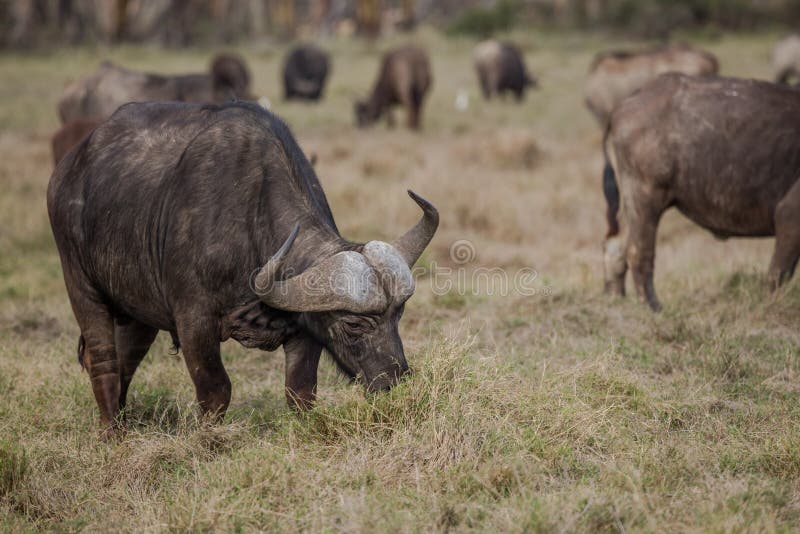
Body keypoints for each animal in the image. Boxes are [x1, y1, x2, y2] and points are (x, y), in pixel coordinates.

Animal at [47, 101, 438, 435]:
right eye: (353, 324)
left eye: (398, 316)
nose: (393, 383)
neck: (252, 221)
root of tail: (67, 170)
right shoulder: (194, 322)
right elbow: (216, 390)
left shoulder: (303, 328)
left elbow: (301, 391)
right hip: (80, 284)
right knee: (103, 360)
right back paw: (112, 432)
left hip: (137, 312)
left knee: (125, 362)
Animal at [602, 74, 800, 311]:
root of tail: (623, 106)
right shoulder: (790, 215)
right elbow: (778, 274)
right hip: (645, 196)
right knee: (637, 251)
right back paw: (653, 307)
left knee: (615, 247)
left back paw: (616, 298)